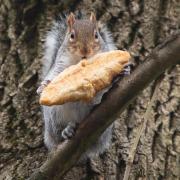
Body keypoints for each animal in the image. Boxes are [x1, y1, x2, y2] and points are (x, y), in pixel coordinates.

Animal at [37, 12, 129, 159]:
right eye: (72, 36)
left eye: (96, 35)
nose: (85, 50)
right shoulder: (60, 65)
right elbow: (54, 75)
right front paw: (43, 86)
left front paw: (123, 72)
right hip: (54, 115)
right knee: (58, 134)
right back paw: (67, 131)